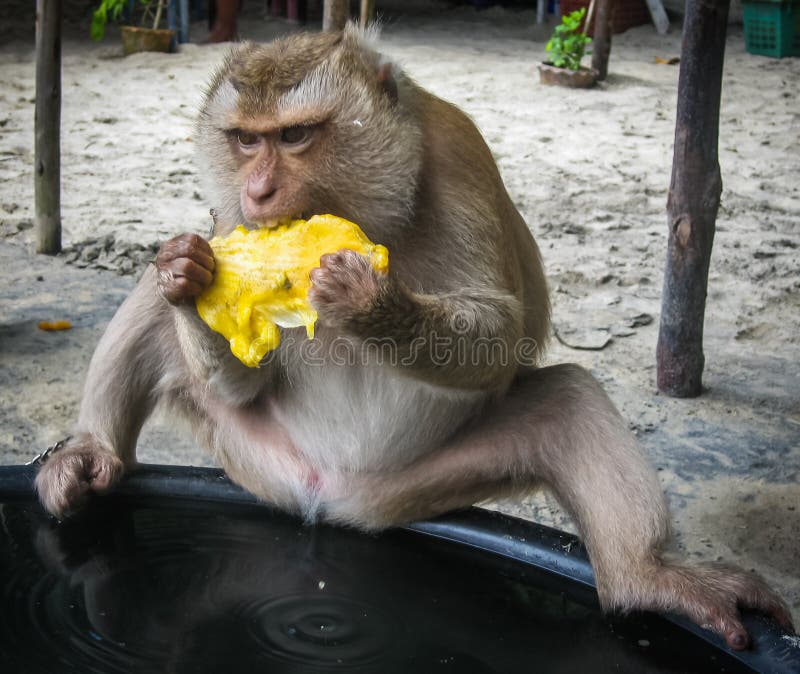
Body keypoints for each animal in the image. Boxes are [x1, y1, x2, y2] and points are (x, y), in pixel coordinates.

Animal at [35, 26, 793, 651]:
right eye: (246, 139)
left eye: (295, 136)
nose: (257, 191)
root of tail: (328, 498)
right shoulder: (226, 220)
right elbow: (240, 368)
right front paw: (188, 279)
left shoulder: (457, 158)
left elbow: (498, 335)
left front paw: (368, 302)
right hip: (256, 457)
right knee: (153, 316)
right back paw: (96, 450)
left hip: (422, 486)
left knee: (569, 400)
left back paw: (648, 577)